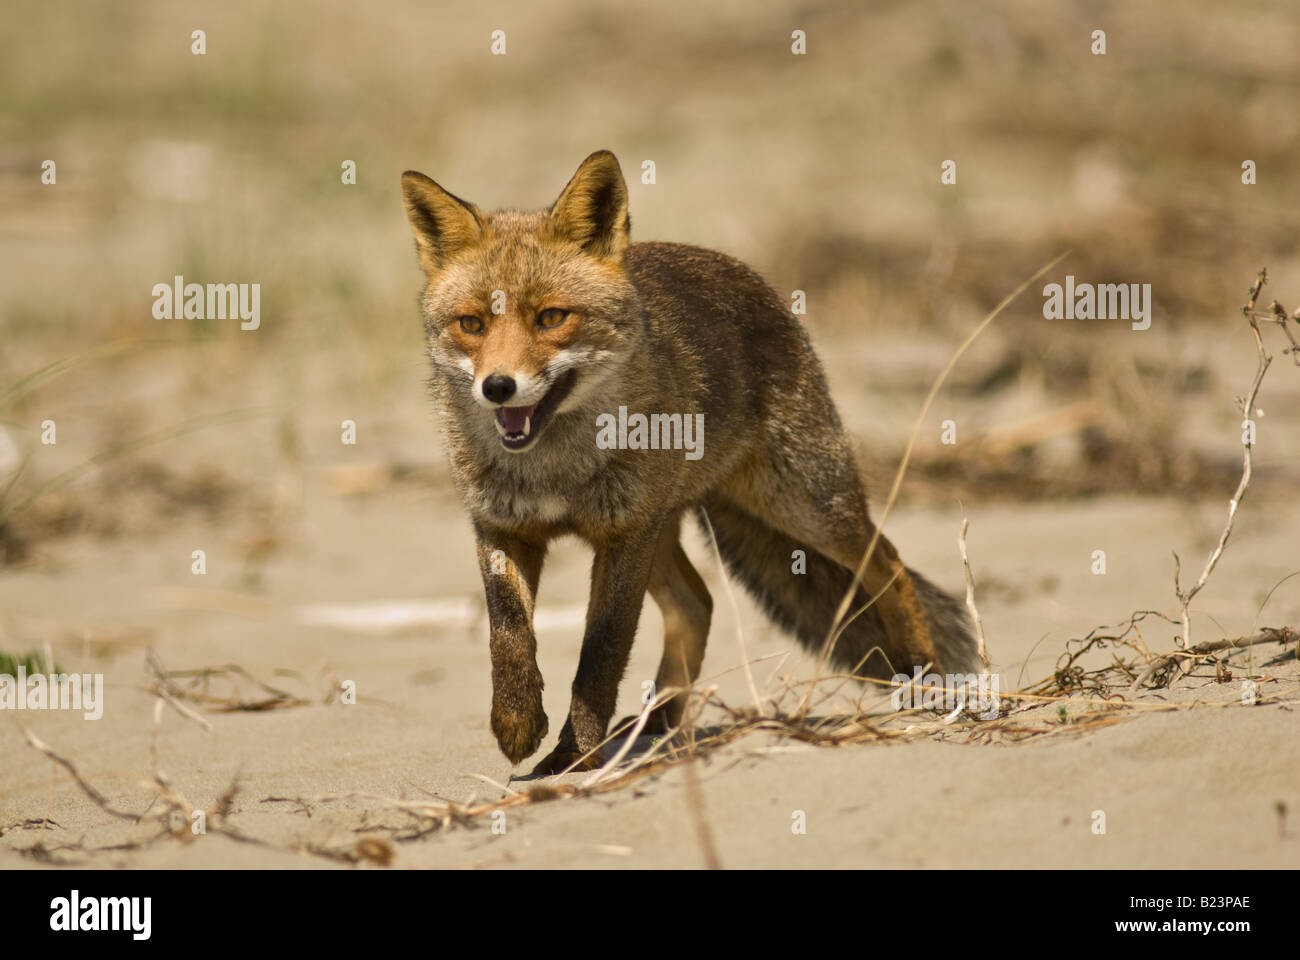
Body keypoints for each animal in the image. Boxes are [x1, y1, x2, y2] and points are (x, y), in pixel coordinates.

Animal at [400, 150, 979, 775]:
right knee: (697, 604)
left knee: (889, 566)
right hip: (671, 531)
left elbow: (600, 655)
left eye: (552, 318)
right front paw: (517, 723)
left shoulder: (624, 536)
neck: (554, 467)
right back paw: (658, 721)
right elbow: (506, 633)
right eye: (472, 325)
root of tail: (739, 271)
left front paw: (575, 756)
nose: (498, 387)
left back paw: (925, 678)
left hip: (802, 504)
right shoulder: (503, 526)